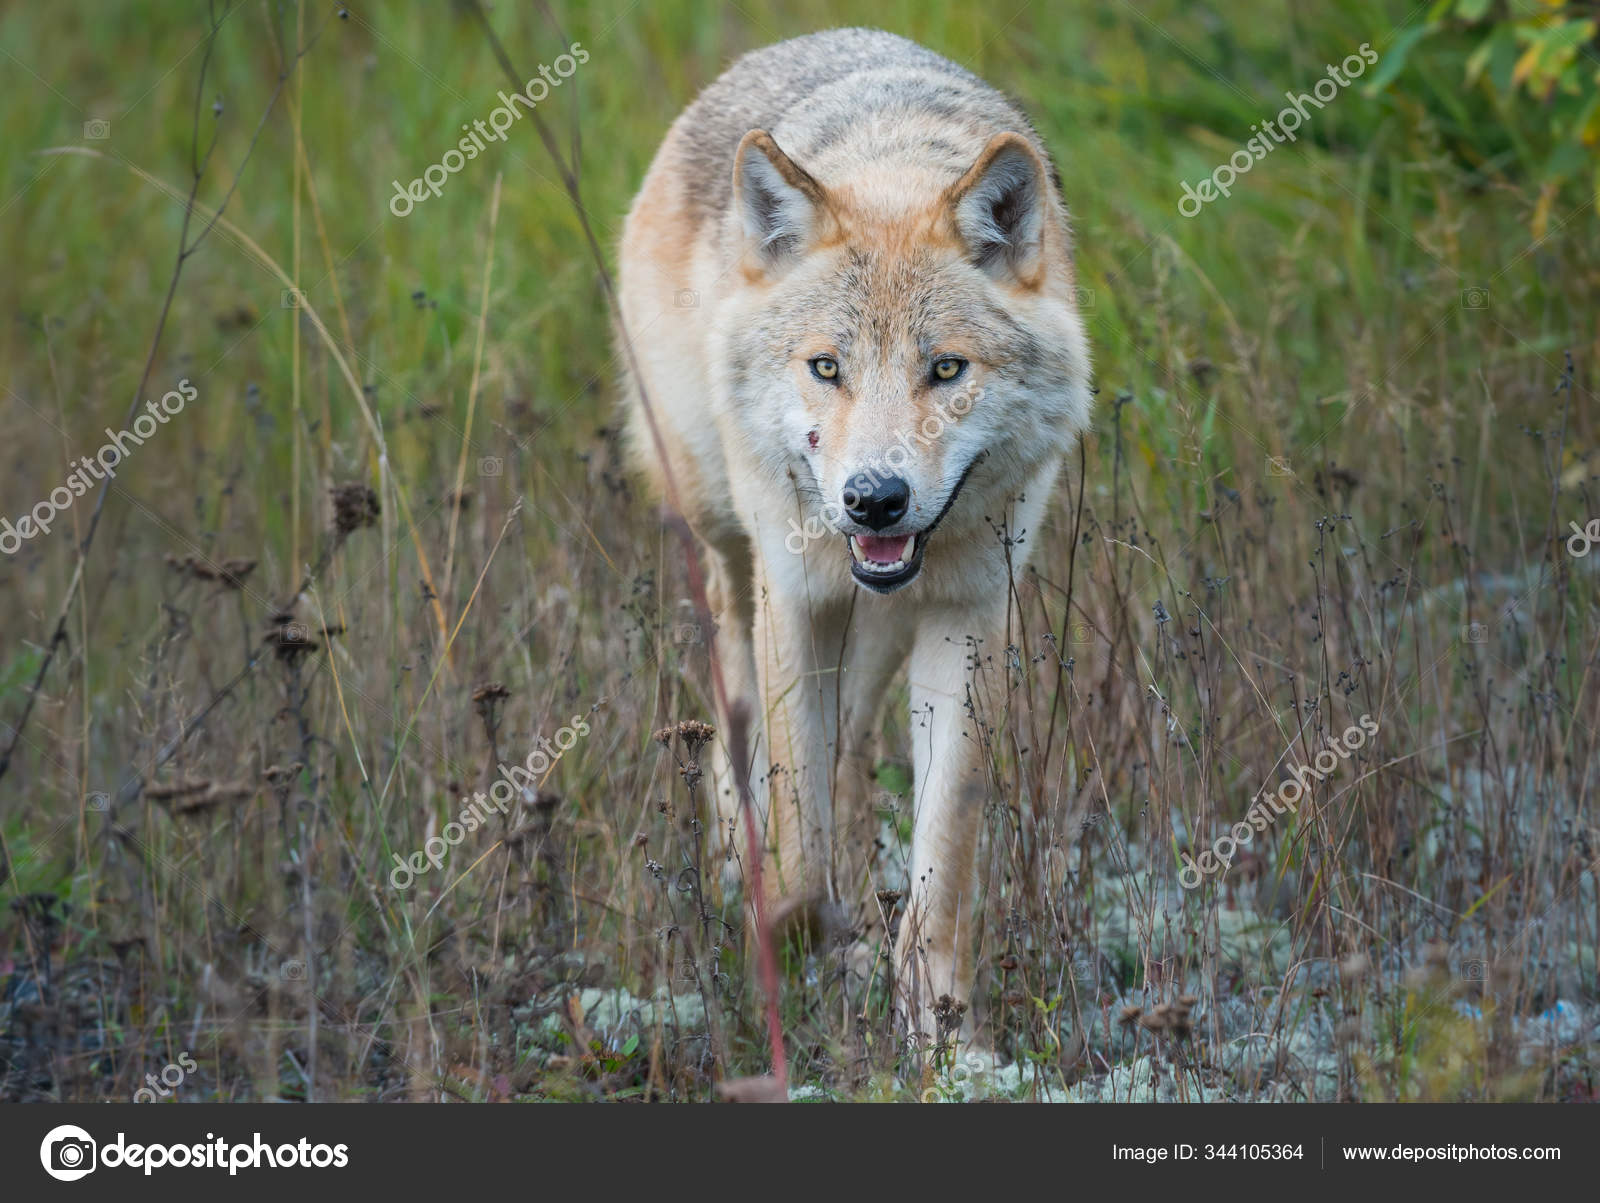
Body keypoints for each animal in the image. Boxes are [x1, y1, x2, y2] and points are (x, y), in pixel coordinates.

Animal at [618, 27, 1092, 1043]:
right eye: (827, 367)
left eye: (945, 369)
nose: (875, 499)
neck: (892, 168)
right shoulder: (796, 600)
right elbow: (797, 836)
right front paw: (796, 940)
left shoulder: (968, 615)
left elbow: (944, 849)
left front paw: (941, 1025)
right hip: (729, 549)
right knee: (739, 709)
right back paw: (736, 850)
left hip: (878, 632)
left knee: (848, 753)